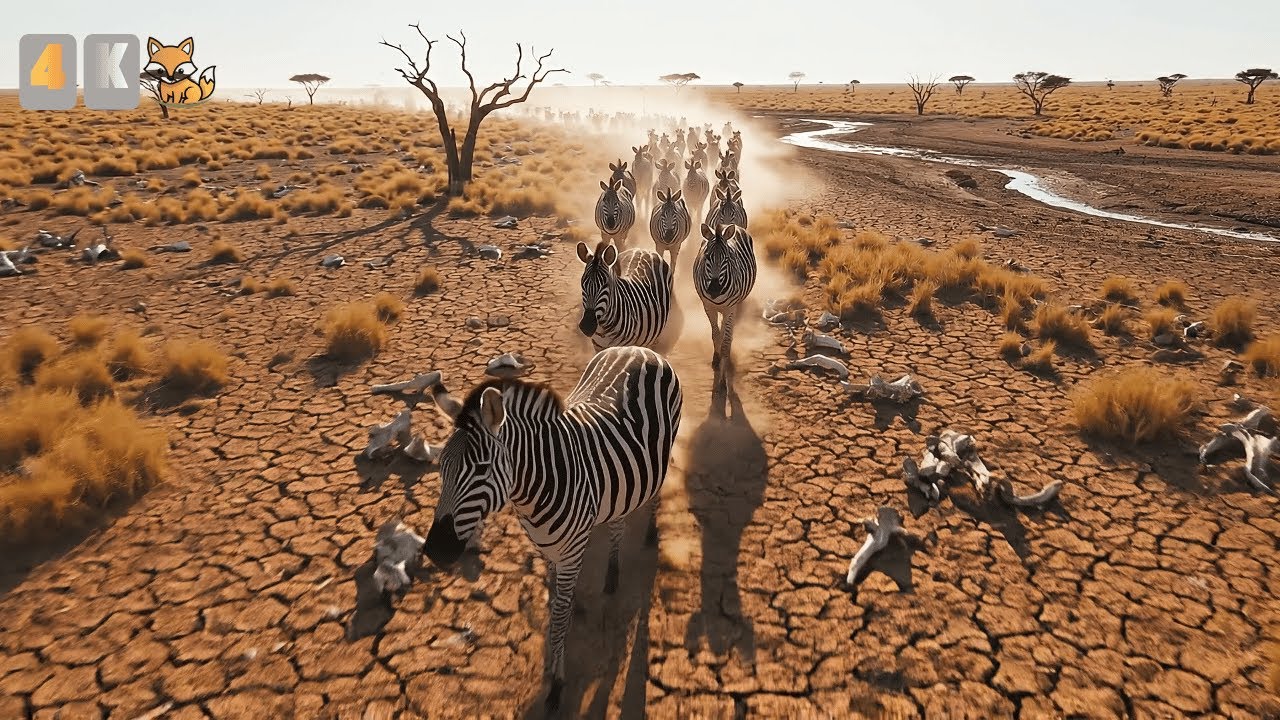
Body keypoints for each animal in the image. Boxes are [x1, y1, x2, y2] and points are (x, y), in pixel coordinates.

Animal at [419, 346, 683, 712]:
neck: (536, 487)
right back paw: (612, 572)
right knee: (618, 518)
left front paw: (557, 684)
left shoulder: (570, 554)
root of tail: (638, 348)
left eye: (482, 468)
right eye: (441, 466)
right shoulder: (545, 549)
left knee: (656, 488)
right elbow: (557, 602)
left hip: (665, 446)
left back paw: (649, 535)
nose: (434, 550)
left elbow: (558, 618)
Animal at [692, 222, 756, 390]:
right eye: (707, 256)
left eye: (726, 259)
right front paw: (716, 359)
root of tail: (728, 225)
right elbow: (715, 335)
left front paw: (722, 380)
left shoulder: (730, 309)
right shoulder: (708, 307)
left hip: (735, 305)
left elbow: (726, 343)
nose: (715, 289)